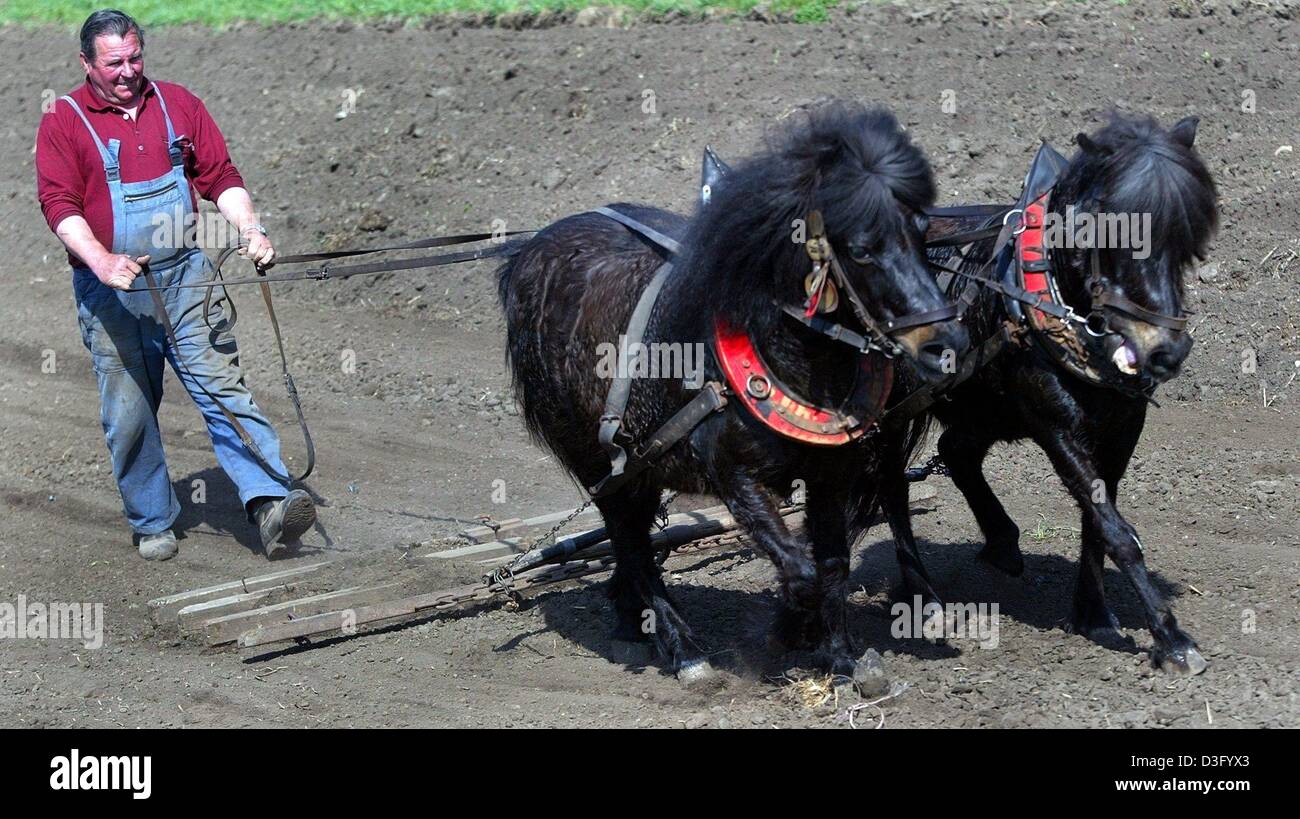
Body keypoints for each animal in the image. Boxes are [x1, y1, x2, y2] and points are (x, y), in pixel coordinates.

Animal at [496, 102, 969, 681]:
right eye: (862, 250)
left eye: (923, 233)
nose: (948, 345)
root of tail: (529, 252)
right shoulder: (735, 477)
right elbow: (802, 568)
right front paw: (787, 633)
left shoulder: (832, 474)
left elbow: (832, 562)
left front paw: (841, 656)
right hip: (594, 459)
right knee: (629, 539)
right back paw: (683, 649)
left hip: (639, 463)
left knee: (633, 535)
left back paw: (633, 620)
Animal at [880, 112, 1218, 674]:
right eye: (1111, 231)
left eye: (1189, 235)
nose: (1165, 351)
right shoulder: (1056, 427)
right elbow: (1117, 531)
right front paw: (1172, 640)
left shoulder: (1123, 429)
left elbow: (1098, 520)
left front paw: (1093, 612)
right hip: (890, 410)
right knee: (891, 486)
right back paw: (923, 600)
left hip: (983, 405)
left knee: (957, 452)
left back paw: (1002, 543)